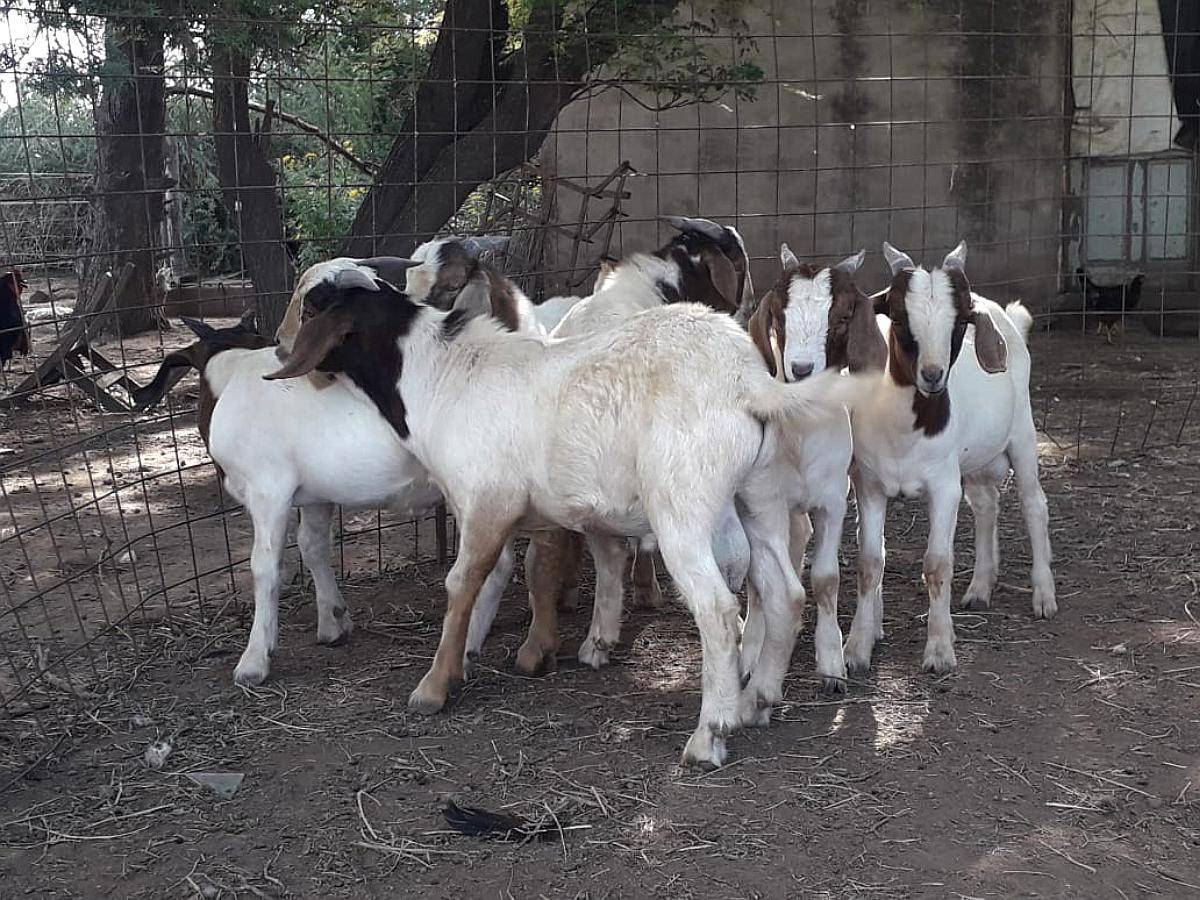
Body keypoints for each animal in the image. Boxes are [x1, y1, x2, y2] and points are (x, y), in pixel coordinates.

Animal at [267, 272, 862, 767]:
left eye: (310, 304)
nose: (277, 344)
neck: (437, 376)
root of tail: (745, 380)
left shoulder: (486, 498)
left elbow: (461, 585)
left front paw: (434, 687)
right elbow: (516, 575)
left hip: (684, 503)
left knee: (717, 609)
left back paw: (710, 733)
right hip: (759, 497)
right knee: (784, 592)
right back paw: (758, 700)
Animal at [842, 241, 1056, 676]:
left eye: (959, 324)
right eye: (899, 319)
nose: (932, 375)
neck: (906, 427)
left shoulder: (942, 484)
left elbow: (937, 564)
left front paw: (940, 649)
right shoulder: (869, 485)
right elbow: (869, 563)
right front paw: (856, 649)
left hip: (1023, 433)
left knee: (1034, 504)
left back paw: (1043, 595)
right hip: (973, 460)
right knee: (987, 505)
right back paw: (979, 588)